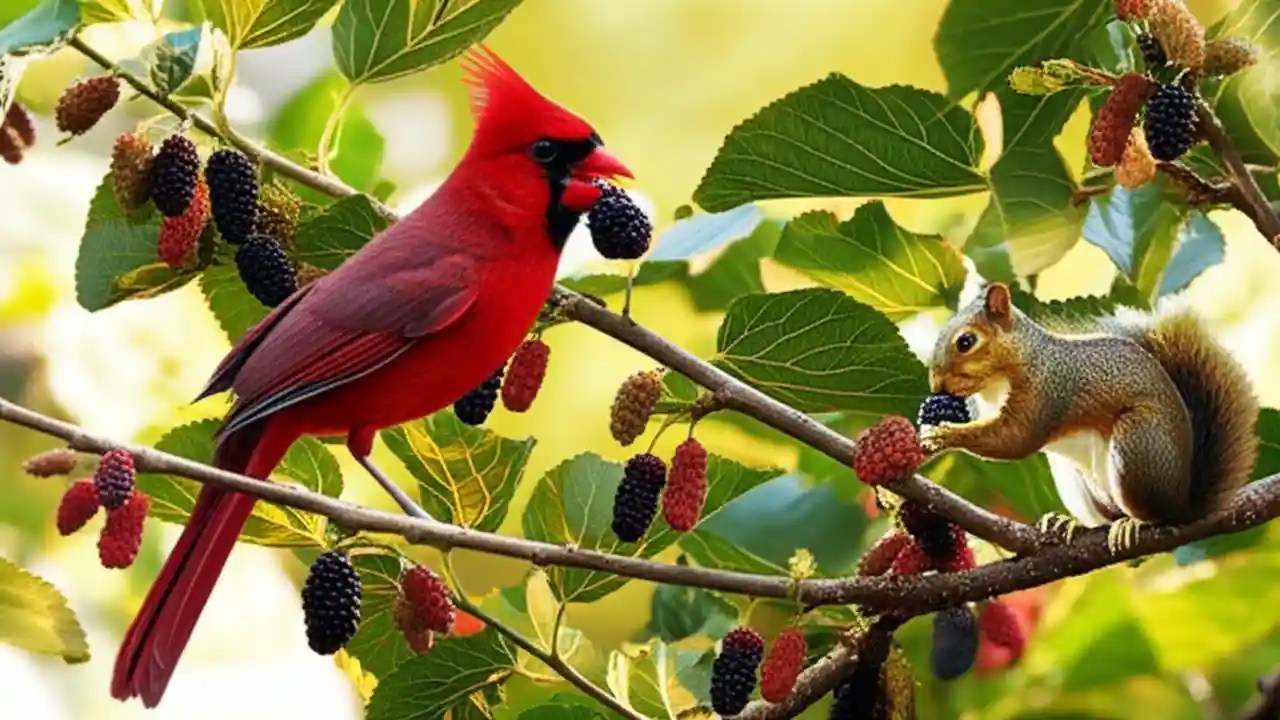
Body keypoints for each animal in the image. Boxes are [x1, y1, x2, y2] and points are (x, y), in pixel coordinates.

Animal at [920, 282, 1259, 549]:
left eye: (966, 342)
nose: (936, 385)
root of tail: (1184, 501)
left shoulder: (1047, 392)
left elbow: (1014, 440)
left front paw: (944, 434)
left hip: (1137, 442)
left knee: (1155, 514)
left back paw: (1136, 524)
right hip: (1075, 477)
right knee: (1106, 516)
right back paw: (1072, 524)